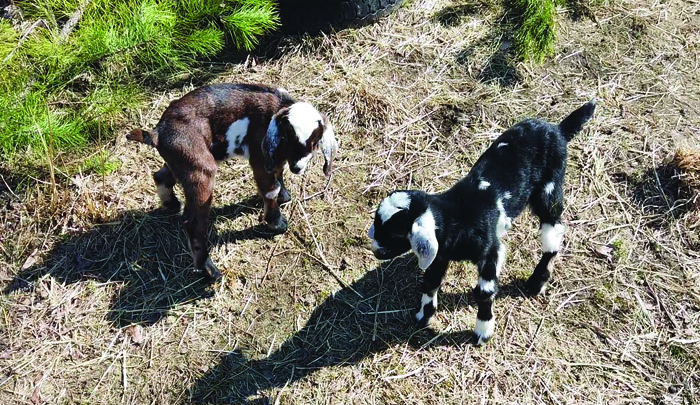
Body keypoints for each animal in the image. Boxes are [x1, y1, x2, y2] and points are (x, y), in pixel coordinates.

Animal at [127, 83, 338, 280]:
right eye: (286, 137)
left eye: (315, 142)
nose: (297, 168)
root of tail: (157, 132)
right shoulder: (260, 158)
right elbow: (270, 189)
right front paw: (277, 223)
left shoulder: (275, 158)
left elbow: (278, 175)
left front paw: (285, 196)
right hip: (199, 167)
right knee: (192, 222)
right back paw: (209, 270)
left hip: (180, 161)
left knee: (161, 176)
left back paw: (171, 205)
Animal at [368, 100, 596, 344]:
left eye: (394, 234)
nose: (375, 250)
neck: (456, 215)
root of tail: (558, 129)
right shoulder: (441, 253)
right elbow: (431, 281)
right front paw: (424, 315)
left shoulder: (490, 251)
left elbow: (485, 291)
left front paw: (483, 331)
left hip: (550, 187)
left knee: (553, 230)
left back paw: (537, 282)